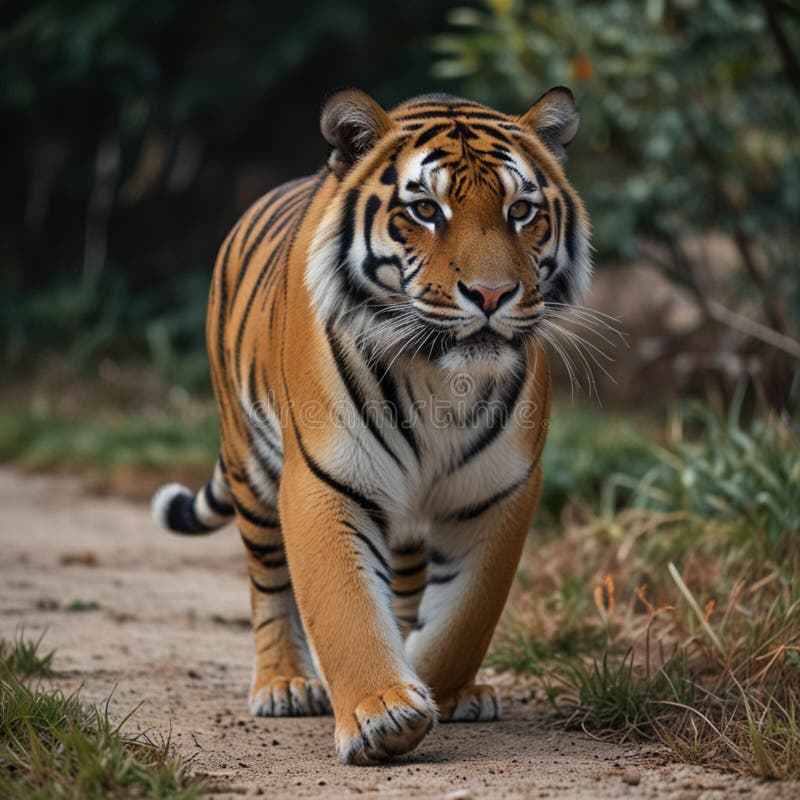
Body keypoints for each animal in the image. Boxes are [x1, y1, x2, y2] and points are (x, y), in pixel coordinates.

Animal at [152, 86, 591, 765]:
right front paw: (383, 712)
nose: (492, 294)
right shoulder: (325, 479)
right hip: (251, 466)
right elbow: (345, 604)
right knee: (268, 583)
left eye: (521, 210)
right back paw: (283, 683)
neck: (440, 379)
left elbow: (466, 616)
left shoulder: (501, 490)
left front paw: (438, 685)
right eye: (425, 209)